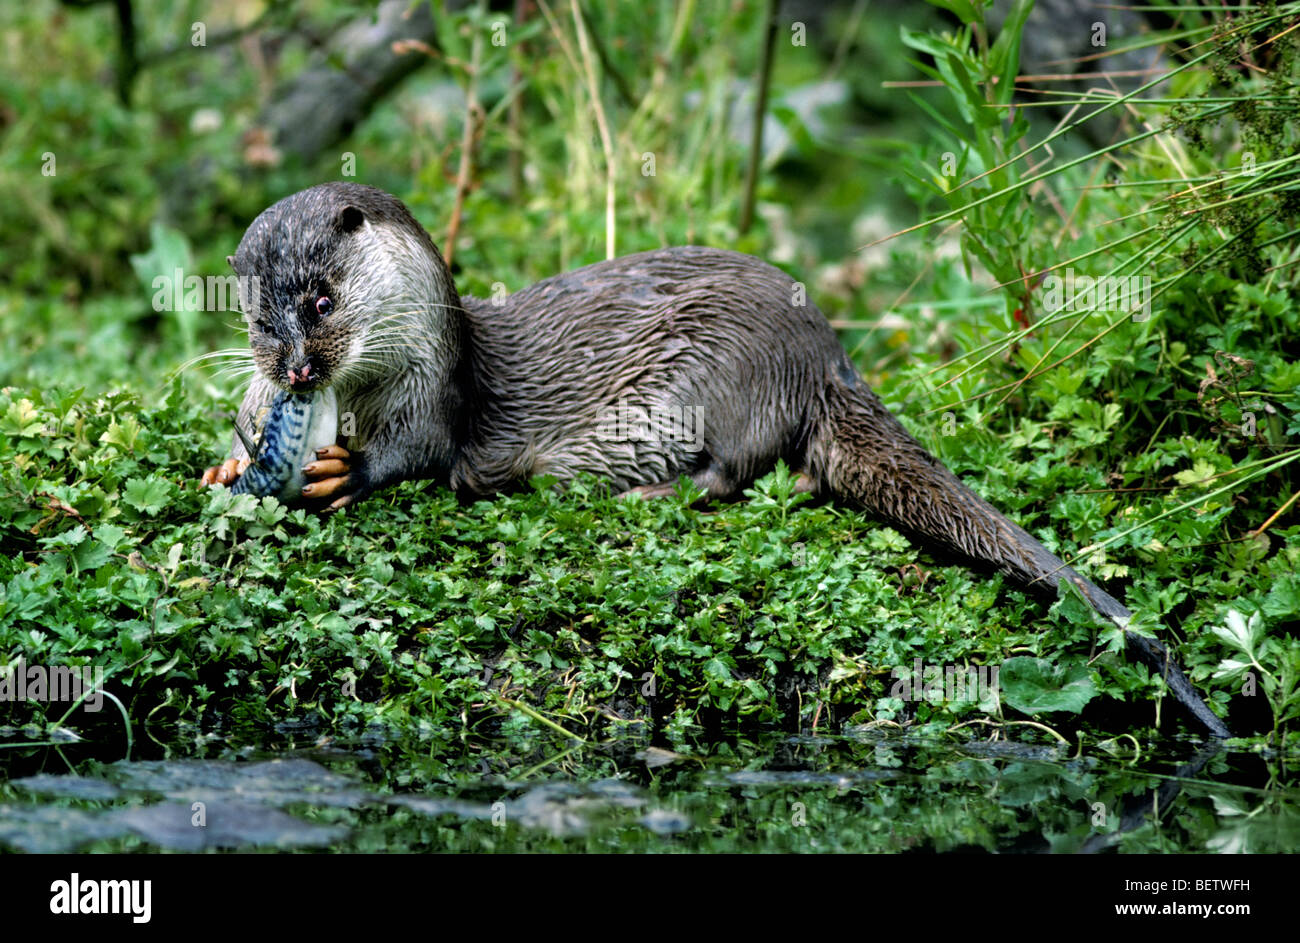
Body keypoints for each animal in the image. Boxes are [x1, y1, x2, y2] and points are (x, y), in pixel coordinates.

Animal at [200, 182, 1230, 738]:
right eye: (256, 314)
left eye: (323, 300)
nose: (296, 368)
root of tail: (823, 350)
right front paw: (225, 466)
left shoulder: (432, 394)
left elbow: (416, 456)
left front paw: (345, 471)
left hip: (727, 368)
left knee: (746, 473)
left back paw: (653, 491)